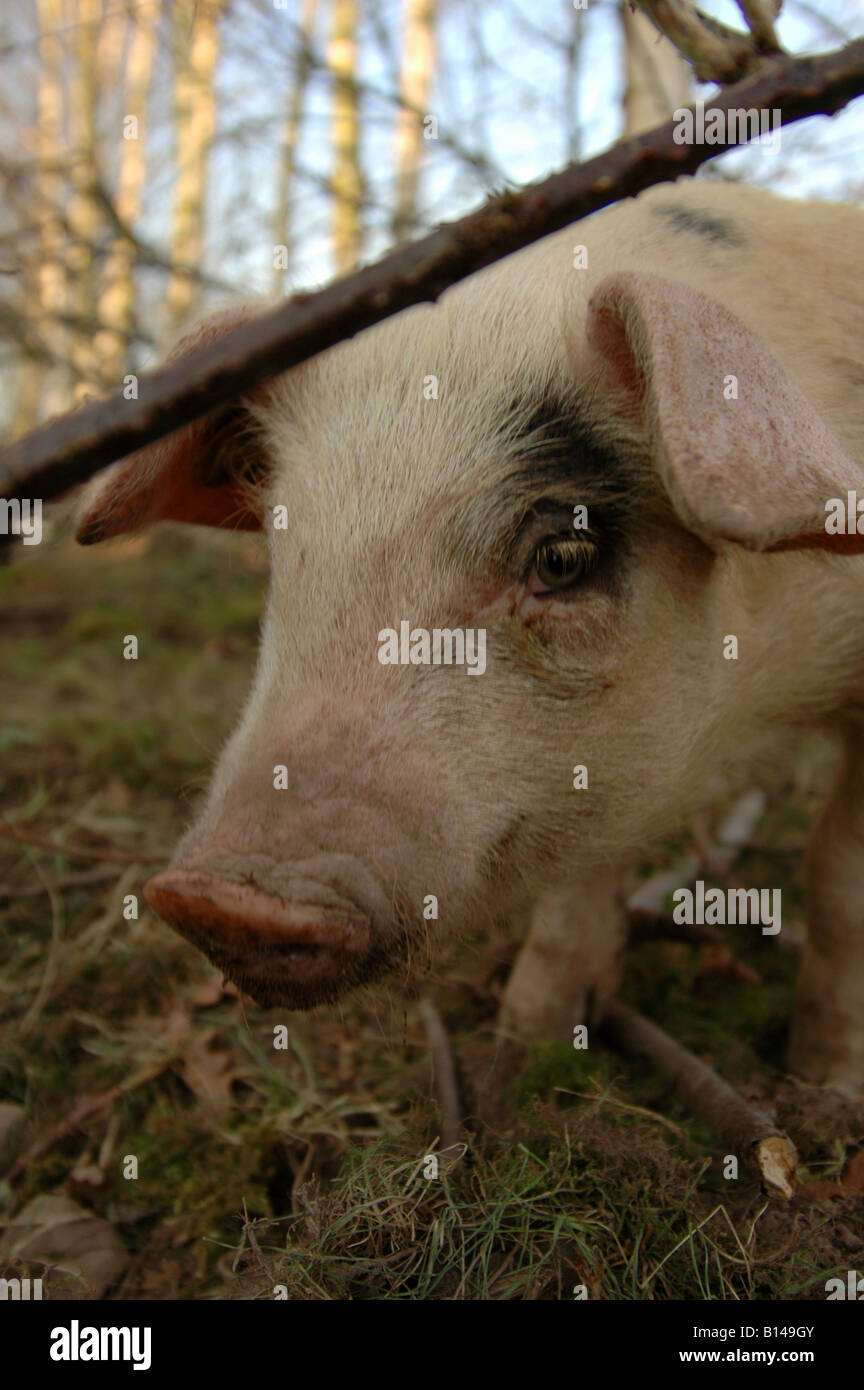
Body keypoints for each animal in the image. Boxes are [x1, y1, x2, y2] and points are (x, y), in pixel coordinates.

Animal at [75, 177, 864, 1098]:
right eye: (286, 546)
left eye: (563, 556)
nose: (227, 897)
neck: (767, 685)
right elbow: (579, 876)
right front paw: (524, 1052)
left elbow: (839, 876)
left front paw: (825, 1093)